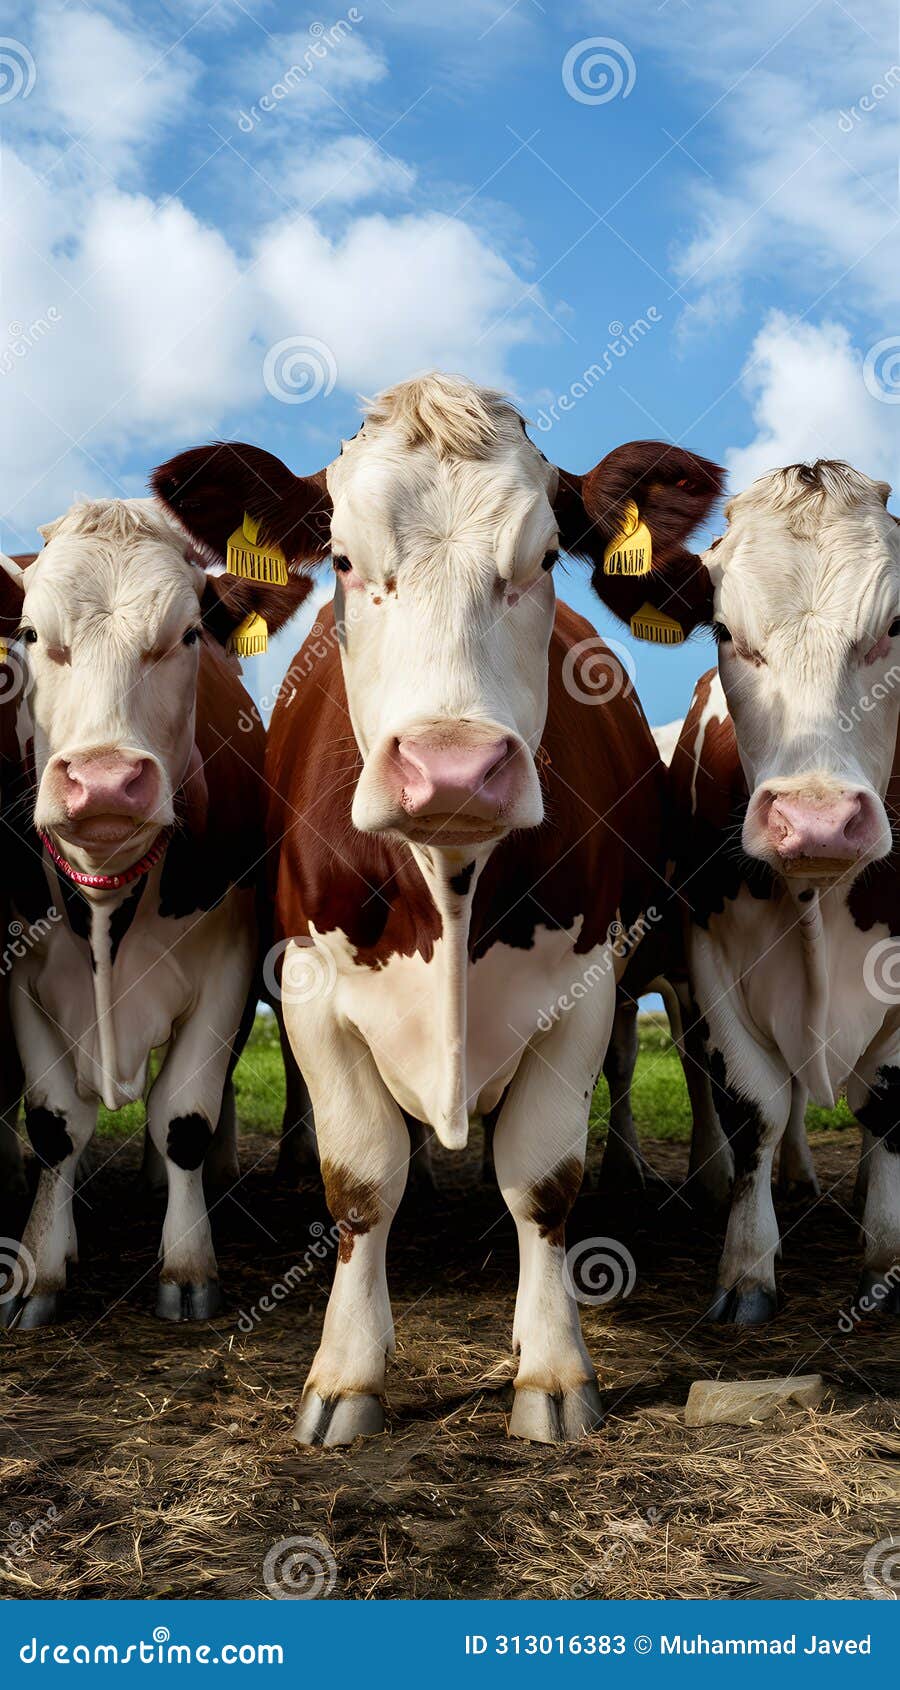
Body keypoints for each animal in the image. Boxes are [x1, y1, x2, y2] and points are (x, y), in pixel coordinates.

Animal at [0, 499, 309, 1328]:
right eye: (31, 636)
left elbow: (185, 1116)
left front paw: (188, 1265)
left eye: (189, 636)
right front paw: (41, 1269)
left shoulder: (229, 965)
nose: (105, 781)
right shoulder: (19, 977)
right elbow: (54, 1124)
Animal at [153, 372, 723, 1442]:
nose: (452, 767)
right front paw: (346, 1376)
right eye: (341, 557)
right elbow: (362, 1181)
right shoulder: (312, 992)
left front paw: (551, 1371)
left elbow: (542, 1181)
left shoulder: (584, 989)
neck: (449, 886)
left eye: (544, 559)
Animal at [609, 458, 900, 1321]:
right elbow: (752, 1104)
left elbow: (886, 1104)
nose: (817, 820)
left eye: (896, 627)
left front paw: (884, 1258)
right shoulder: (708, 952)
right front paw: (745, 1266)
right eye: (725, 633)